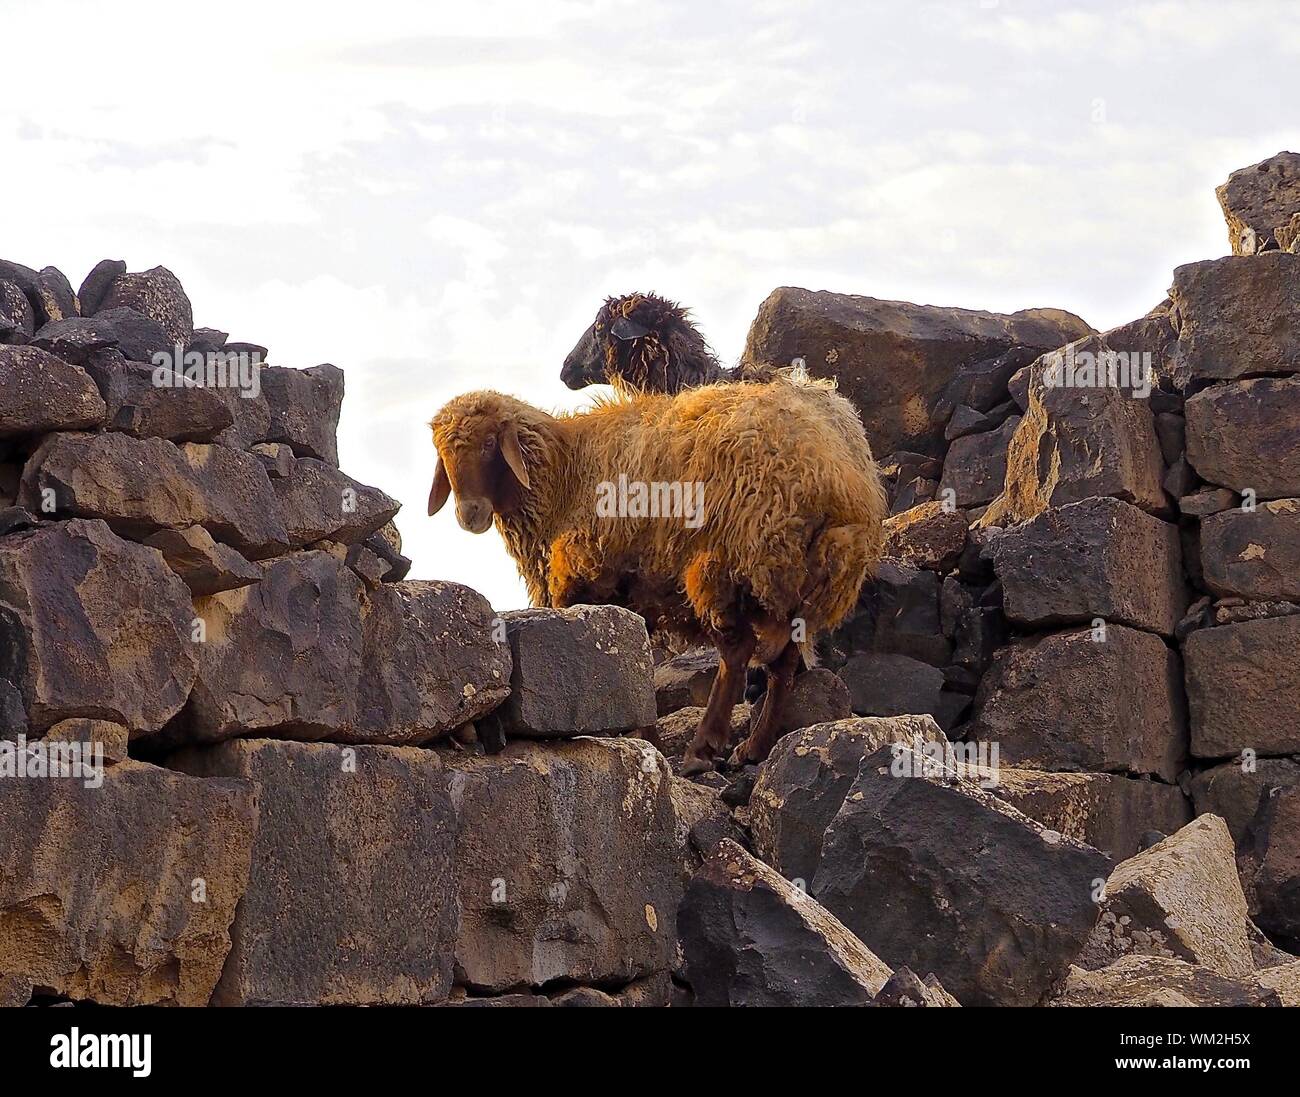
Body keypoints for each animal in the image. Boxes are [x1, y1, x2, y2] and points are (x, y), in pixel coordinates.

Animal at [428, 373, 888, 772]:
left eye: (489, 442)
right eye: (444, 453)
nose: (469, 515)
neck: (565, 472)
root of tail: (838, 478)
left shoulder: (576, 583)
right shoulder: (631, 595)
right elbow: (638, 660)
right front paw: (645, 734)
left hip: (724, 565)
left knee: (738, 653)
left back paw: (703, 749)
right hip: (801, 585)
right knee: (785, 664)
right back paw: (753, 749)